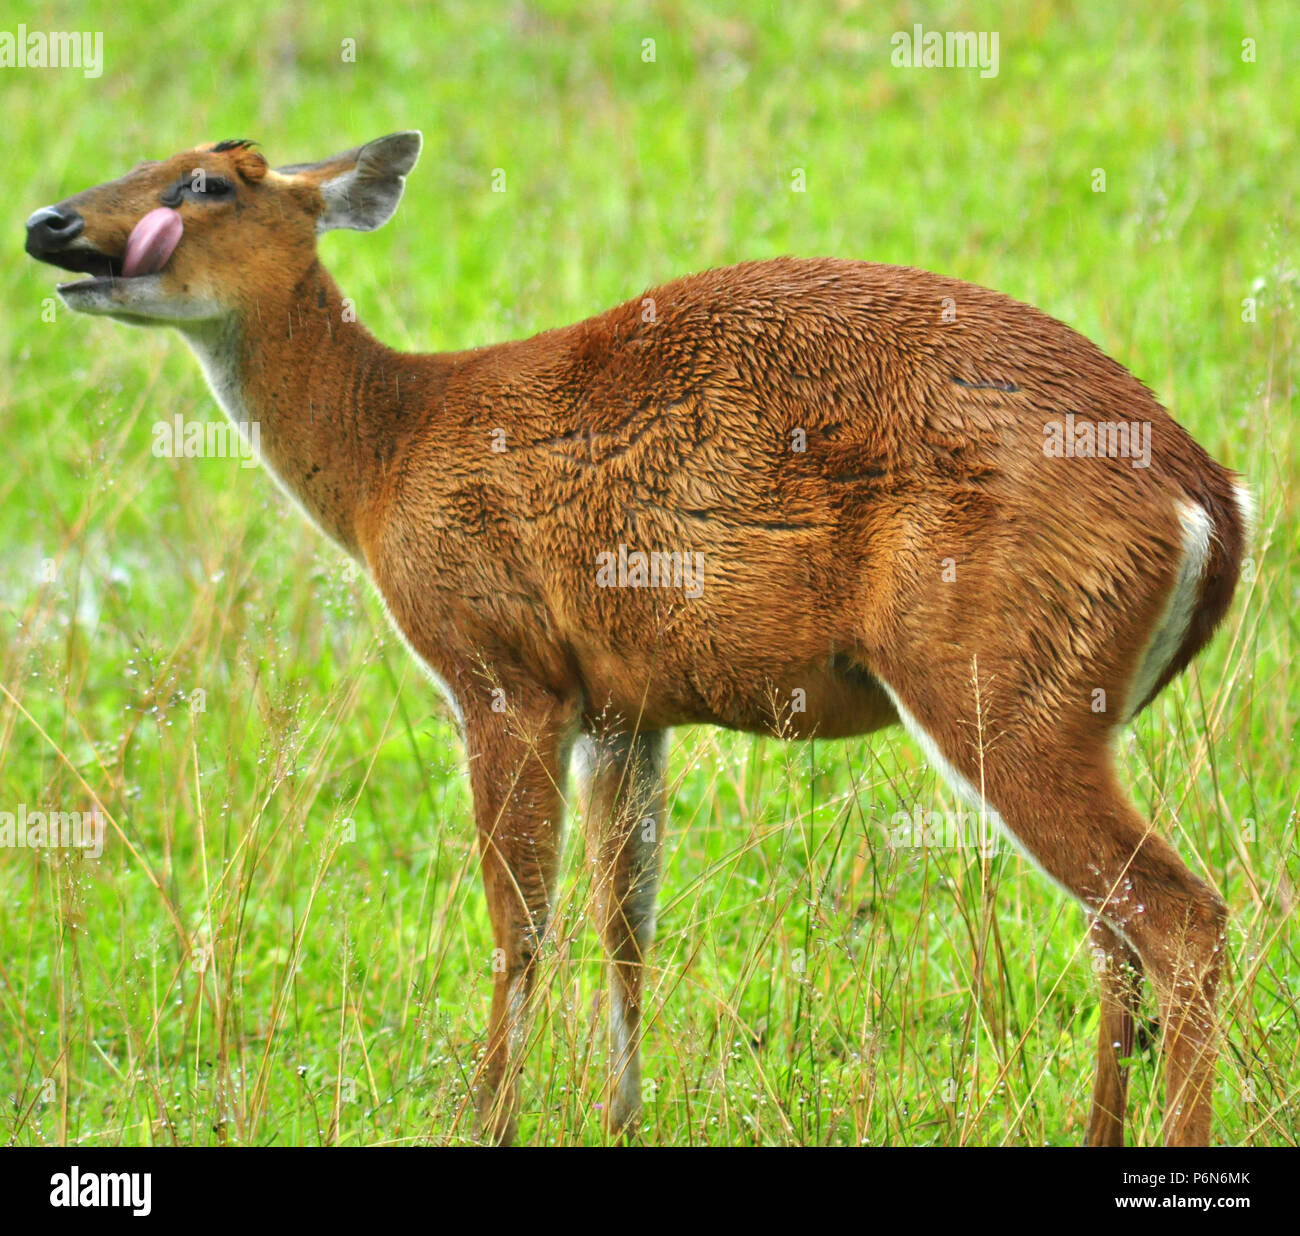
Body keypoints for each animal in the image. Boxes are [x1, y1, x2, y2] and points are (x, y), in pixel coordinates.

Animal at [24, 132, 1249, 1147]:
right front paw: (621, 1115)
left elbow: (521, 920)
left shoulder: (503, 671)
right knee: (1114, 933)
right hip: (1067, 704)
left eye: (205, 183)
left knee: (1178, 917)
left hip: (996, 680)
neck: (390, 451)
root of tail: (1214, 506)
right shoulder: (626, 706)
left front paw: (487, 1119)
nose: (48, 224)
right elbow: (627, 922)